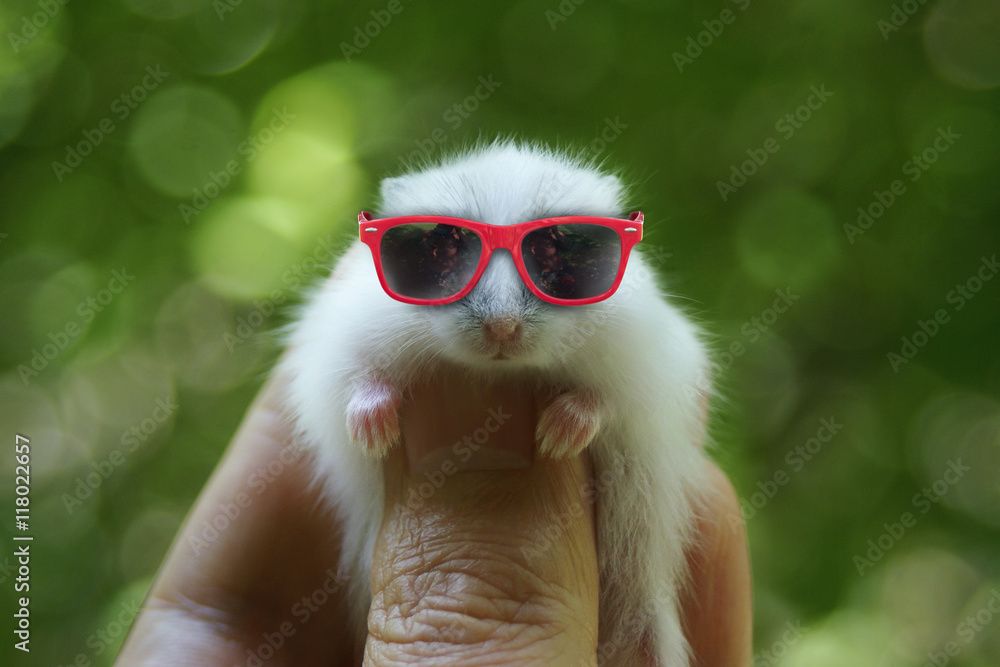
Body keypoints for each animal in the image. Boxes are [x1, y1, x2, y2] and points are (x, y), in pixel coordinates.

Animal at [280, 139, 713, 666]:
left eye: (557, 251)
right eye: (441, 251)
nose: (502, 330)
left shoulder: (652, 371)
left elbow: (600, 400)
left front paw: (555, 438)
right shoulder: (332, 353)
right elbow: (360, 383)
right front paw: (375, 435)